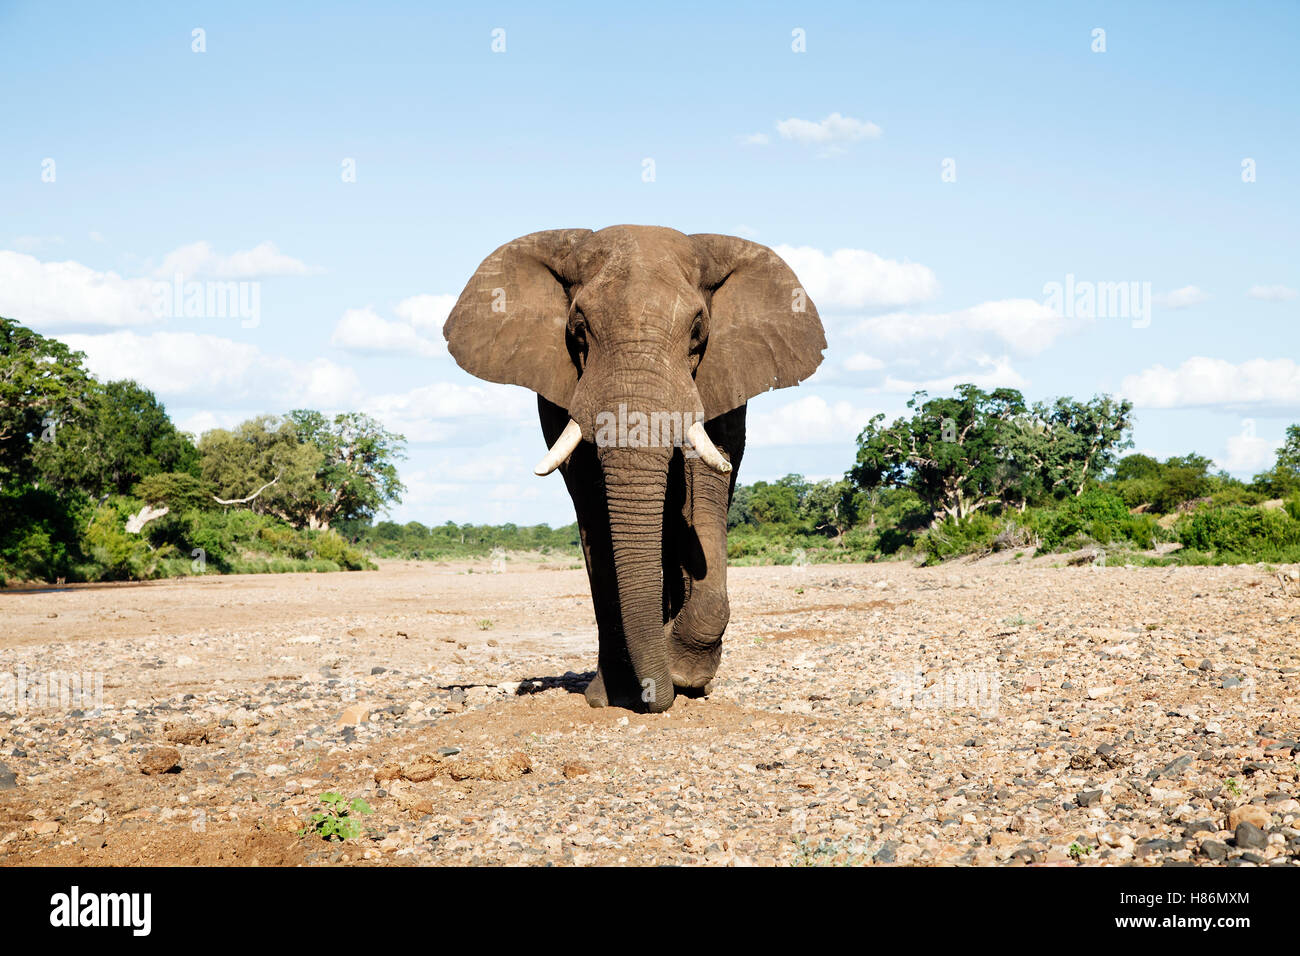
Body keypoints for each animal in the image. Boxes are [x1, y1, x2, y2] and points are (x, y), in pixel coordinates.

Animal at [443, 225, 825, 712]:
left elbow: (705, 497)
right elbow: (595, 513)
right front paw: (629, 692)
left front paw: (685, 675)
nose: (660, 693)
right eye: (579, 329)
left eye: (697, 330)